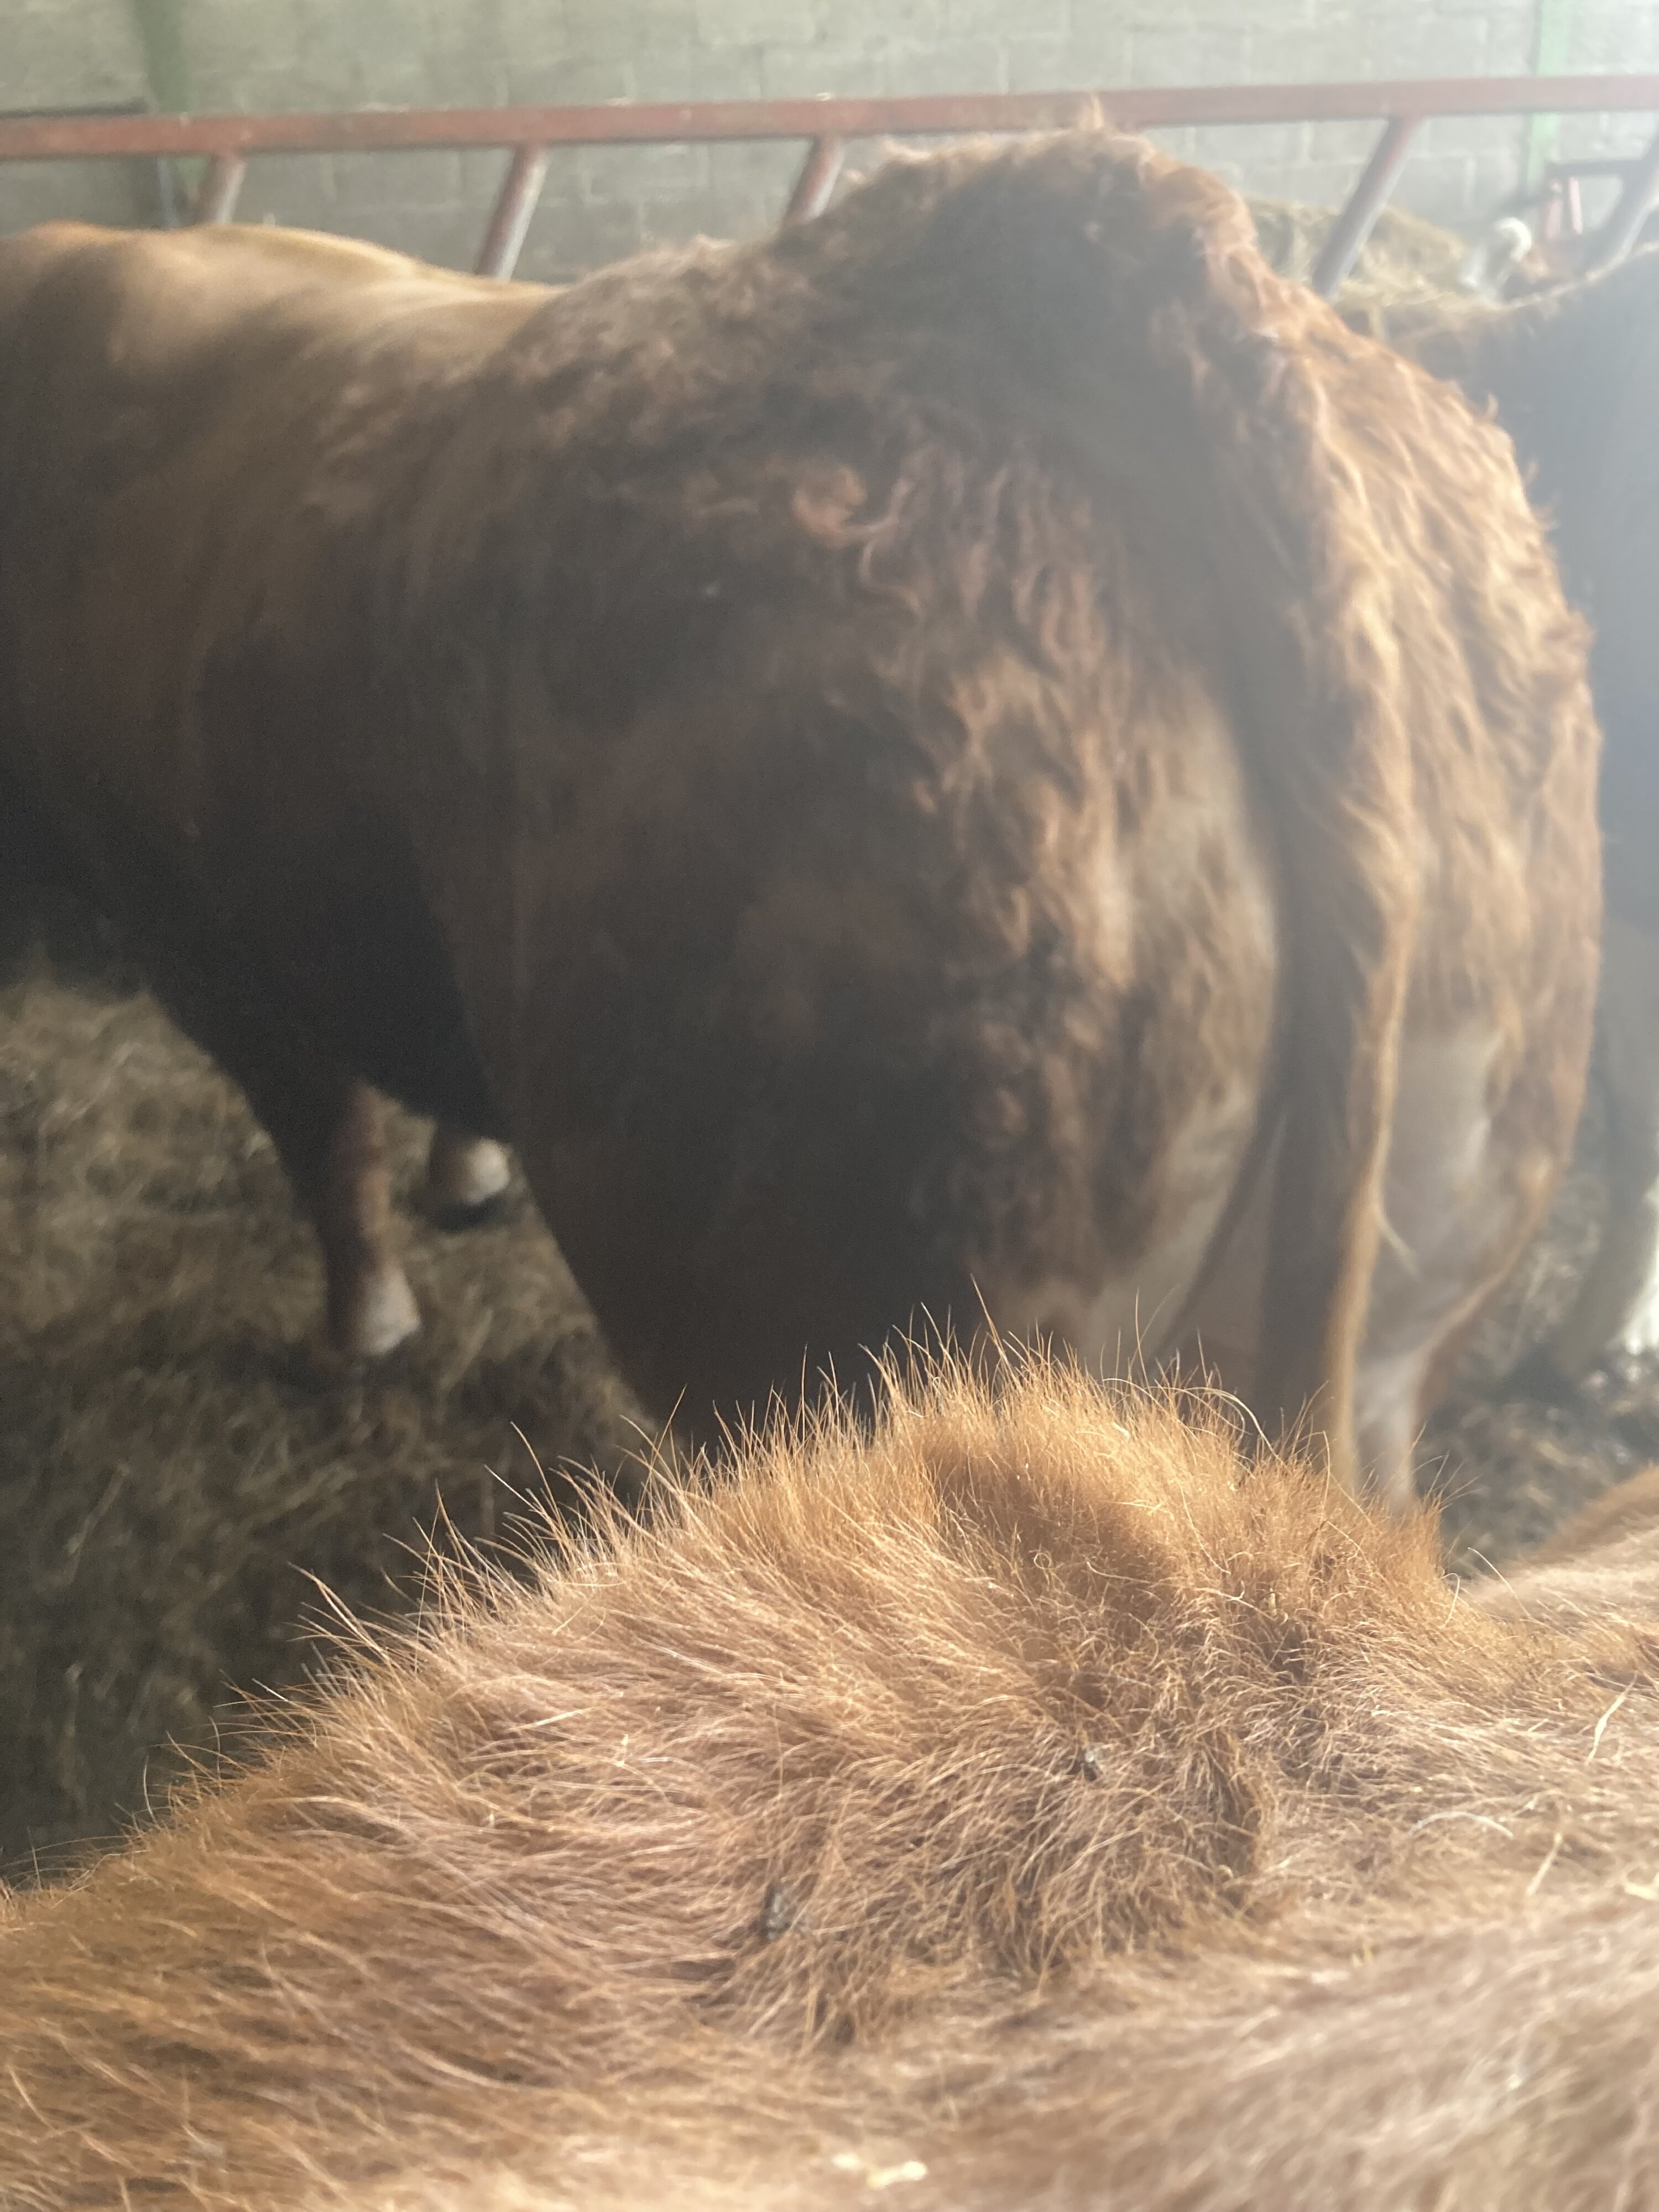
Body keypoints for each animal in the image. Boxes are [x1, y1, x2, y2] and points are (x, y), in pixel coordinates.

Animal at [0, 129, 1601, 1503]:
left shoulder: (197, 933)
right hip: (1410, 1298)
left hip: (809, 1310)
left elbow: (326, 1145)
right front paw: (467, 1173)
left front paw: (362, 1328)